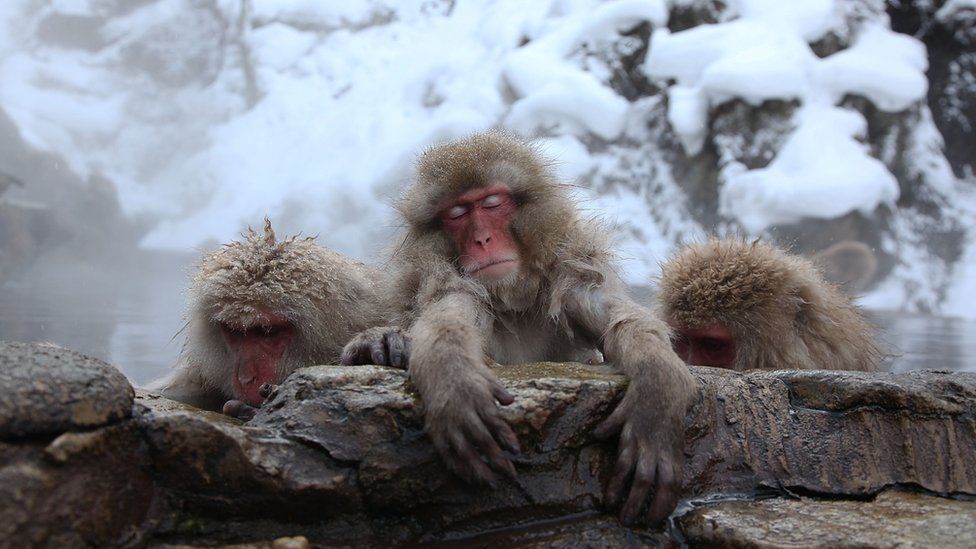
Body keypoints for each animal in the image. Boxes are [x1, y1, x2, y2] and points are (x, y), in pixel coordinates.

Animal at [342, 131, 698, 525]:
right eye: (457, 214)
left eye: (492, 203)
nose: (482, 240)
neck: (512, 302)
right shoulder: (453, 281)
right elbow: (446, 321)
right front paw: (453, 379)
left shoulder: (566, 268)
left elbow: (610, 311)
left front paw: (657, 392)